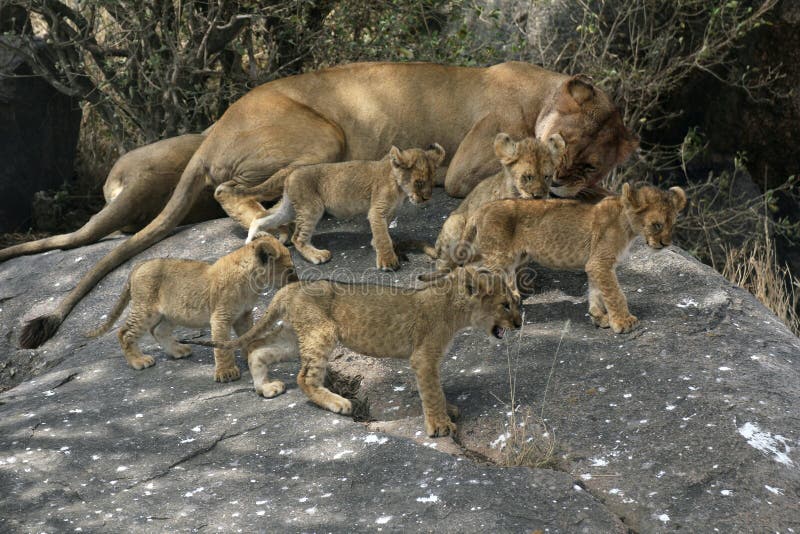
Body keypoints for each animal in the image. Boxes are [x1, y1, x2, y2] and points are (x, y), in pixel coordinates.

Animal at [87, 234, 298, 382]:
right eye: (289, 270)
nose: (296, 282)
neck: (252, 281)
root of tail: (140, 264)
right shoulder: (220, 317)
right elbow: (221, 346)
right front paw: (227, 372)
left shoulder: (244, 315)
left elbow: (248, 336)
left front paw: (251, 353)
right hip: (146, 309)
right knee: (124, 333)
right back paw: (139, 361)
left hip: (171, 314)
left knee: (158, 330)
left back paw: (178, 350)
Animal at [184, 266, 521, 437]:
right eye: (505, 304)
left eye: (516, 301)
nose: (520, 322)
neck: (454, 307)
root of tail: (290, 288)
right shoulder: (423, 357)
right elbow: (432, 391)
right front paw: (439, 425)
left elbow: (436, 390)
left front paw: (447, 411)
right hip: (321, 333)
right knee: (304, 378)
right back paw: (339, 403)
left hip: (296, 336)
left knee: (257, 350)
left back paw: (266, 388)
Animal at [233, 143, 445, 270]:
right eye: (419, 182)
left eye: (432, 181)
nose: (426, 198)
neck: (399, 188)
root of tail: (292, 170)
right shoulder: (377, 210)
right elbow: (382, 235)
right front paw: (387, 261)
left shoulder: (389, 212)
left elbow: (382, 232)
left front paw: (377, 244)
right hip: (311, 207)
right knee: (298, 237)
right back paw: (317, 255)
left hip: (289, 207)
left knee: (262, 218)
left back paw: (253, 239)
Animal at [448, 184, 687, 333]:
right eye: (657, 224)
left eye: (673, 224)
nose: (666, 244)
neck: (627, 224)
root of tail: (481, 209)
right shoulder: (601, 262)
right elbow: (615, 294)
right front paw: (623, 322)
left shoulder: (595, 264)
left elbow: (597, 291)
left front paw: (599, 317)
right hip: (499, 256)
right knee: (474, 270)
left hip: (512, 258)